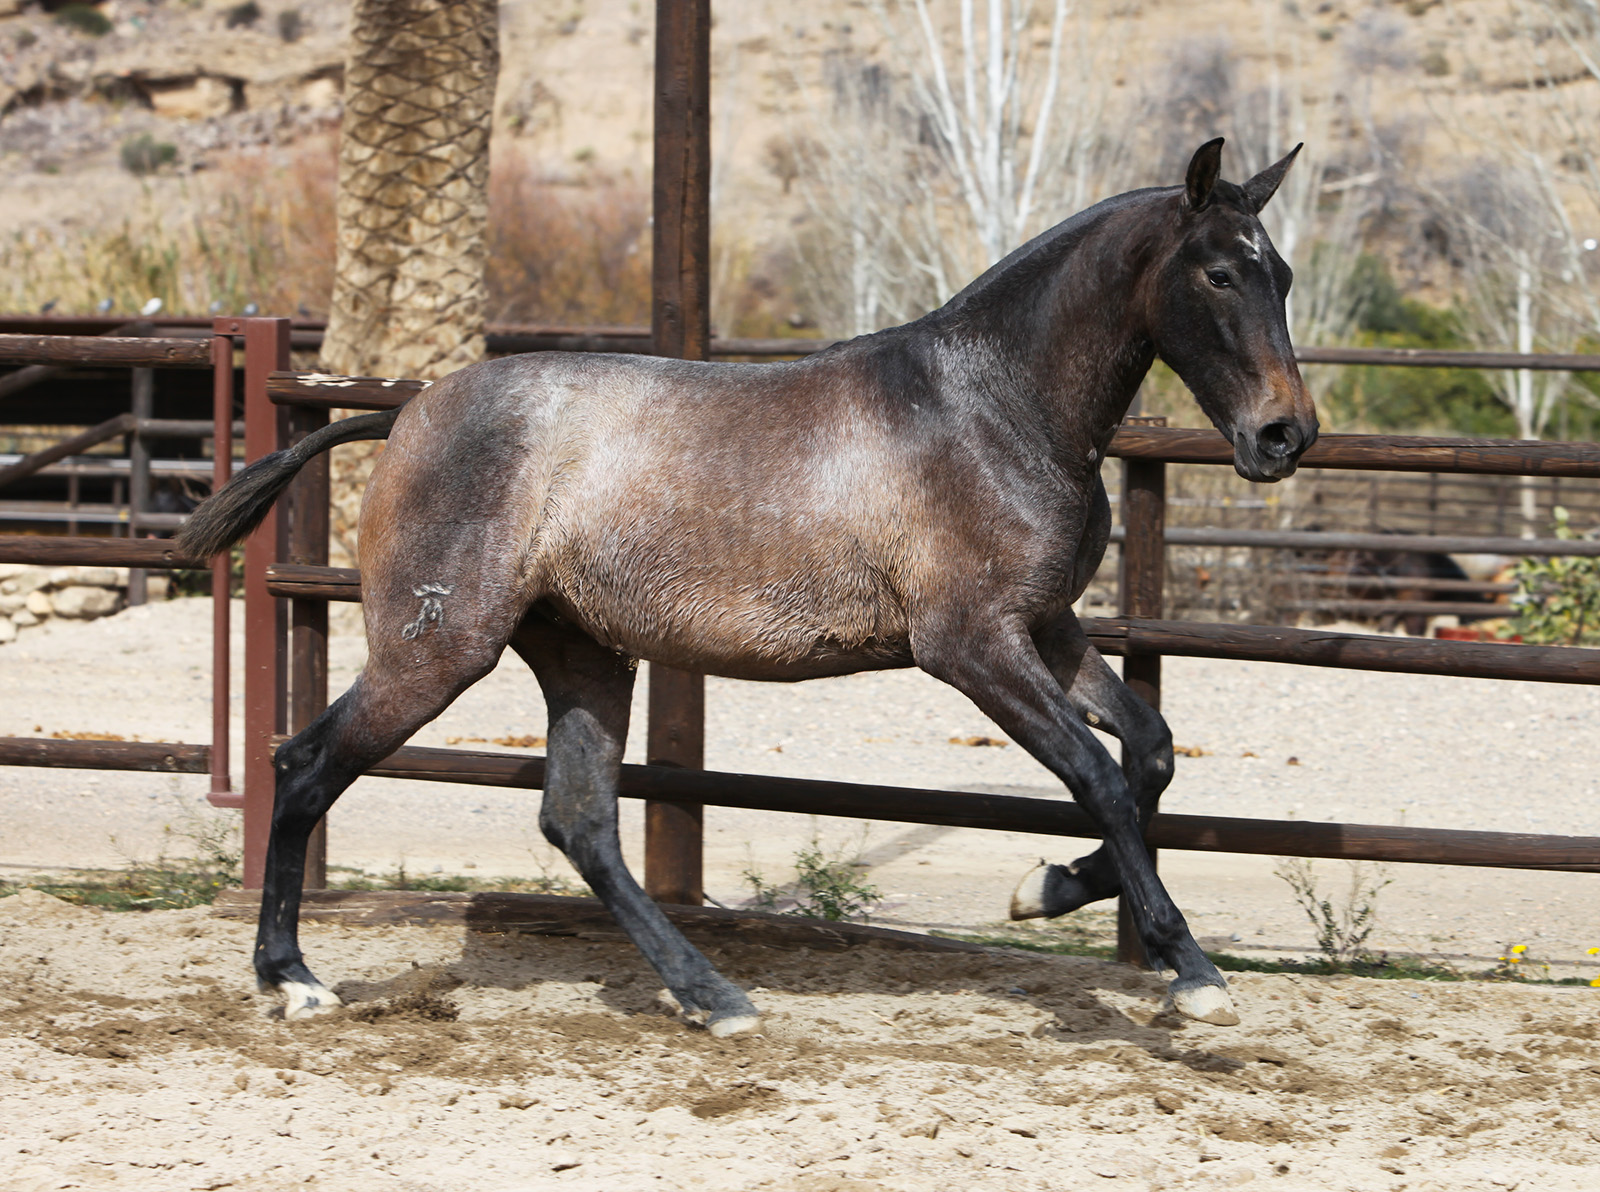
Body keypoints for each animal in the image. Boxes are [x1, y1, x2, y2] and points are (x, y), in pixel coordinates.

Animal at [178, 138, 1317, 1036]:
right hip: (437, 648)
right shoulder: (971, 645)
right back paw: (293, 979)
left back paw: (712, 996)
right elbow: (1099, 774)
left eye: (1286, 276)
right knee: (307, 763)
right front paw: (1190, 971)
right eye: (1220, 275)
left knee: (579, 822)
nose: (1286, 435)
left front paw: (1044, 890)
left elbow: (1150, 753)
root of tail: (404, 415)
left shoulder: (1046, 626)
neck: (993, 407)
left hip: (585, 654)